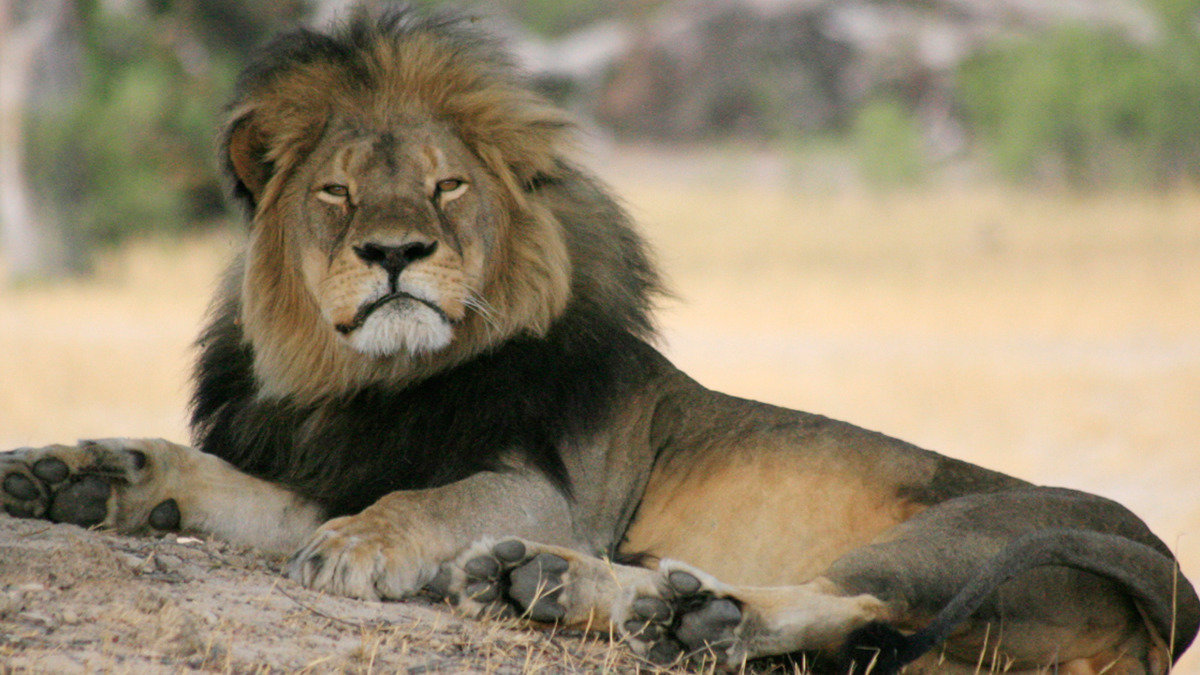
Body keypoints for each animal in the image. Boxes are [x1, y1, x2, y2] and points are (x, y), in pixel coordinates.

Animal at [2, 8, 1196, 673]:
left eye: (446, 186)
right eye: (337, 194)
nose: (395, 252)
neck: (363, 380)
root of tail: (1167, 574)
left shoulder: (546, 490)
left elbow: (431, 501)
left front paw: (361, 549)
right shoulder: (328, 467)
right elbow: (210, 477)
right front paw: (77, 475)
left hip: (953, 534)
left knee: (842, 602)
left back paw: (606, 594)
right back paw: (586, 594)